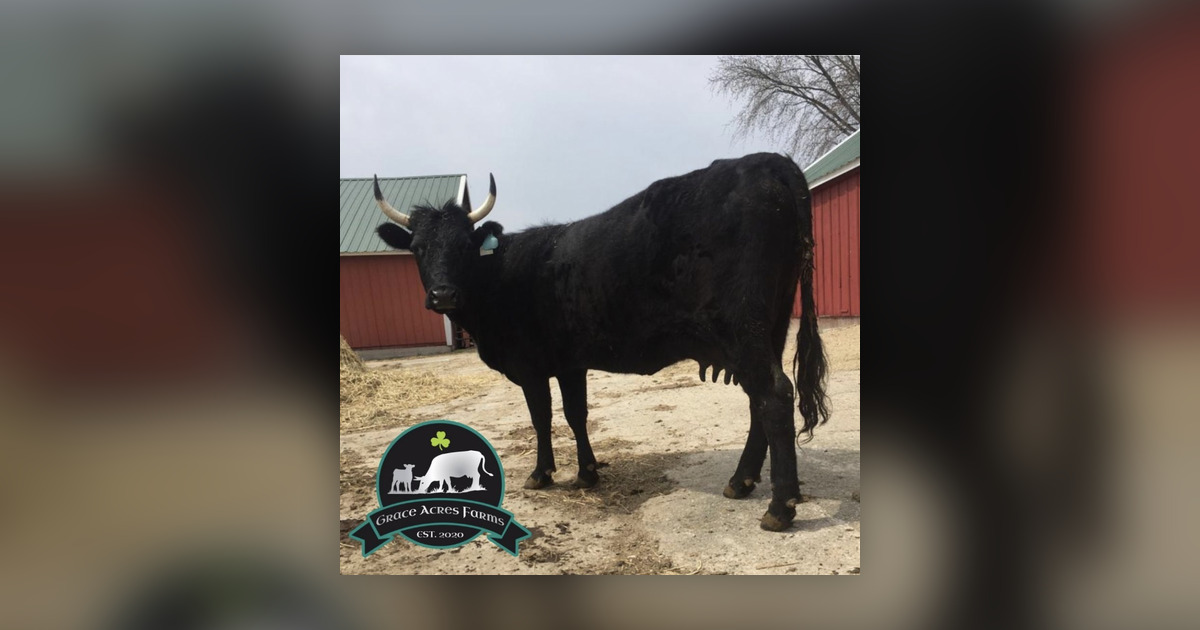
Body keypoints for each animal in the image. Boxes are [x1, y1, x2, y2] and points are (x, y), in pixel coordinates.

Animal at [373, 153, 829, 531]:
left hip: (743, 329)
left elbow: (541, 417)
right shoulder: (570, 363)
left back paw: (779, 507)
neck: (502, 276)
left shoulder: (530, 366)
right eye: (417, 248)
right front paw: (587, 473)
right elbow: (576, 414)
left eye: (466, 245)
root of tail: (766, 160)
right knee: (758, 402)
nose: (443, 294)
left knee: (773, 396)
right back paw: (741, 481)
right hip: (770, 327)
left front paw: (541, 474)